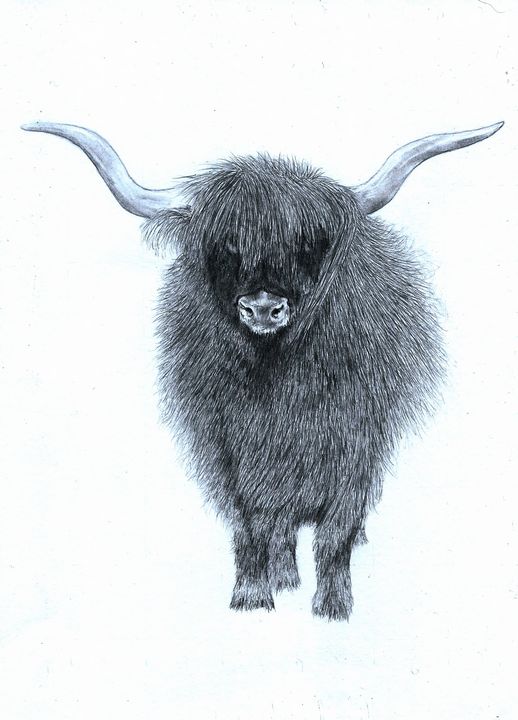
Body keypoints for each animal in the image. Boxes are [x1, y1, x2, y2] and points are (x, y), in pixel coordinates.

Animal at [22, 120, 502, 620]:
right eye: (226, 245)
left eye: (306, 245)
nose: (263, 308)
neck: (276, 383)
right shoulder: (224, 445)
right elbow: (250, 524)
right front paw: (252, 597)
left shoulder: (358, 442)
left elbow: (335, 533)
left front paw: (333, 606)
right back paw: (285, 579)